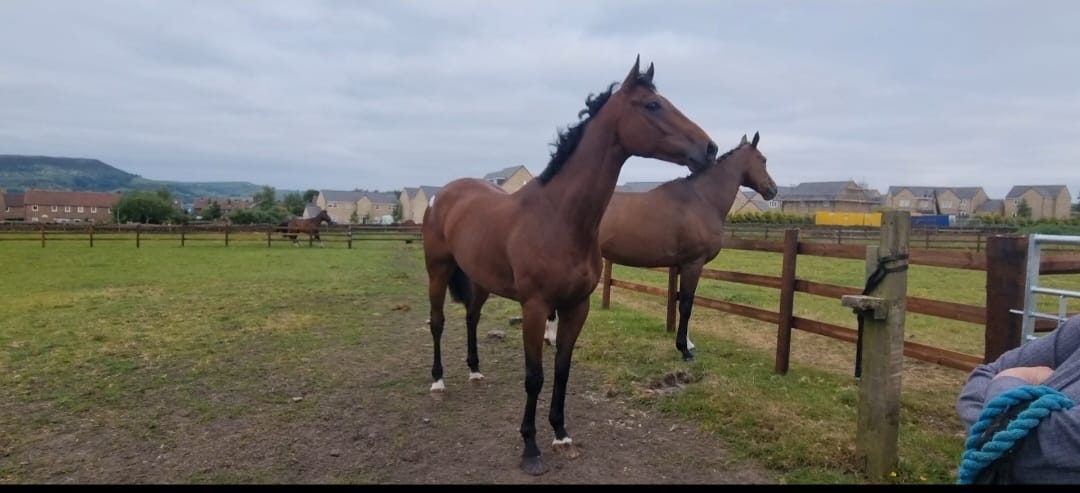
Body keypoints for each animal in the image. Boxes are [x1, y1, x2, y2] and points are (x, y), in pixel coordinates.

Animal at [422, 56, 717, 475]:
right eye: (653, 105)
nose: (709, 147)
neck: (559, 217)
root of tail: (444, 194)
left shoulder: (577, 306)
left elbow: (562, 369)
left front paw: (560, 433)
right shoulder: (534, 308)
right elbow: (535, 376)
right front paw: (530, 448)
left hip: (480, 279)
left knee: (472, 318)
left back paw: (475, 370)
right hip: (438, 269)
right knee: (438, 321)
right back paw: (438, 381)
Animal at [571, 132, 778, 362]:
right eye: (762, 159)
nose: (773, 189)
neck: (702, 199)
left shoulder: (680, 265)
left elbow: (681, 300)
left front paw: (687, 343)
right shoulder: (693, 264)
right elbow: (686, 305)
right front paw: (684, 350)